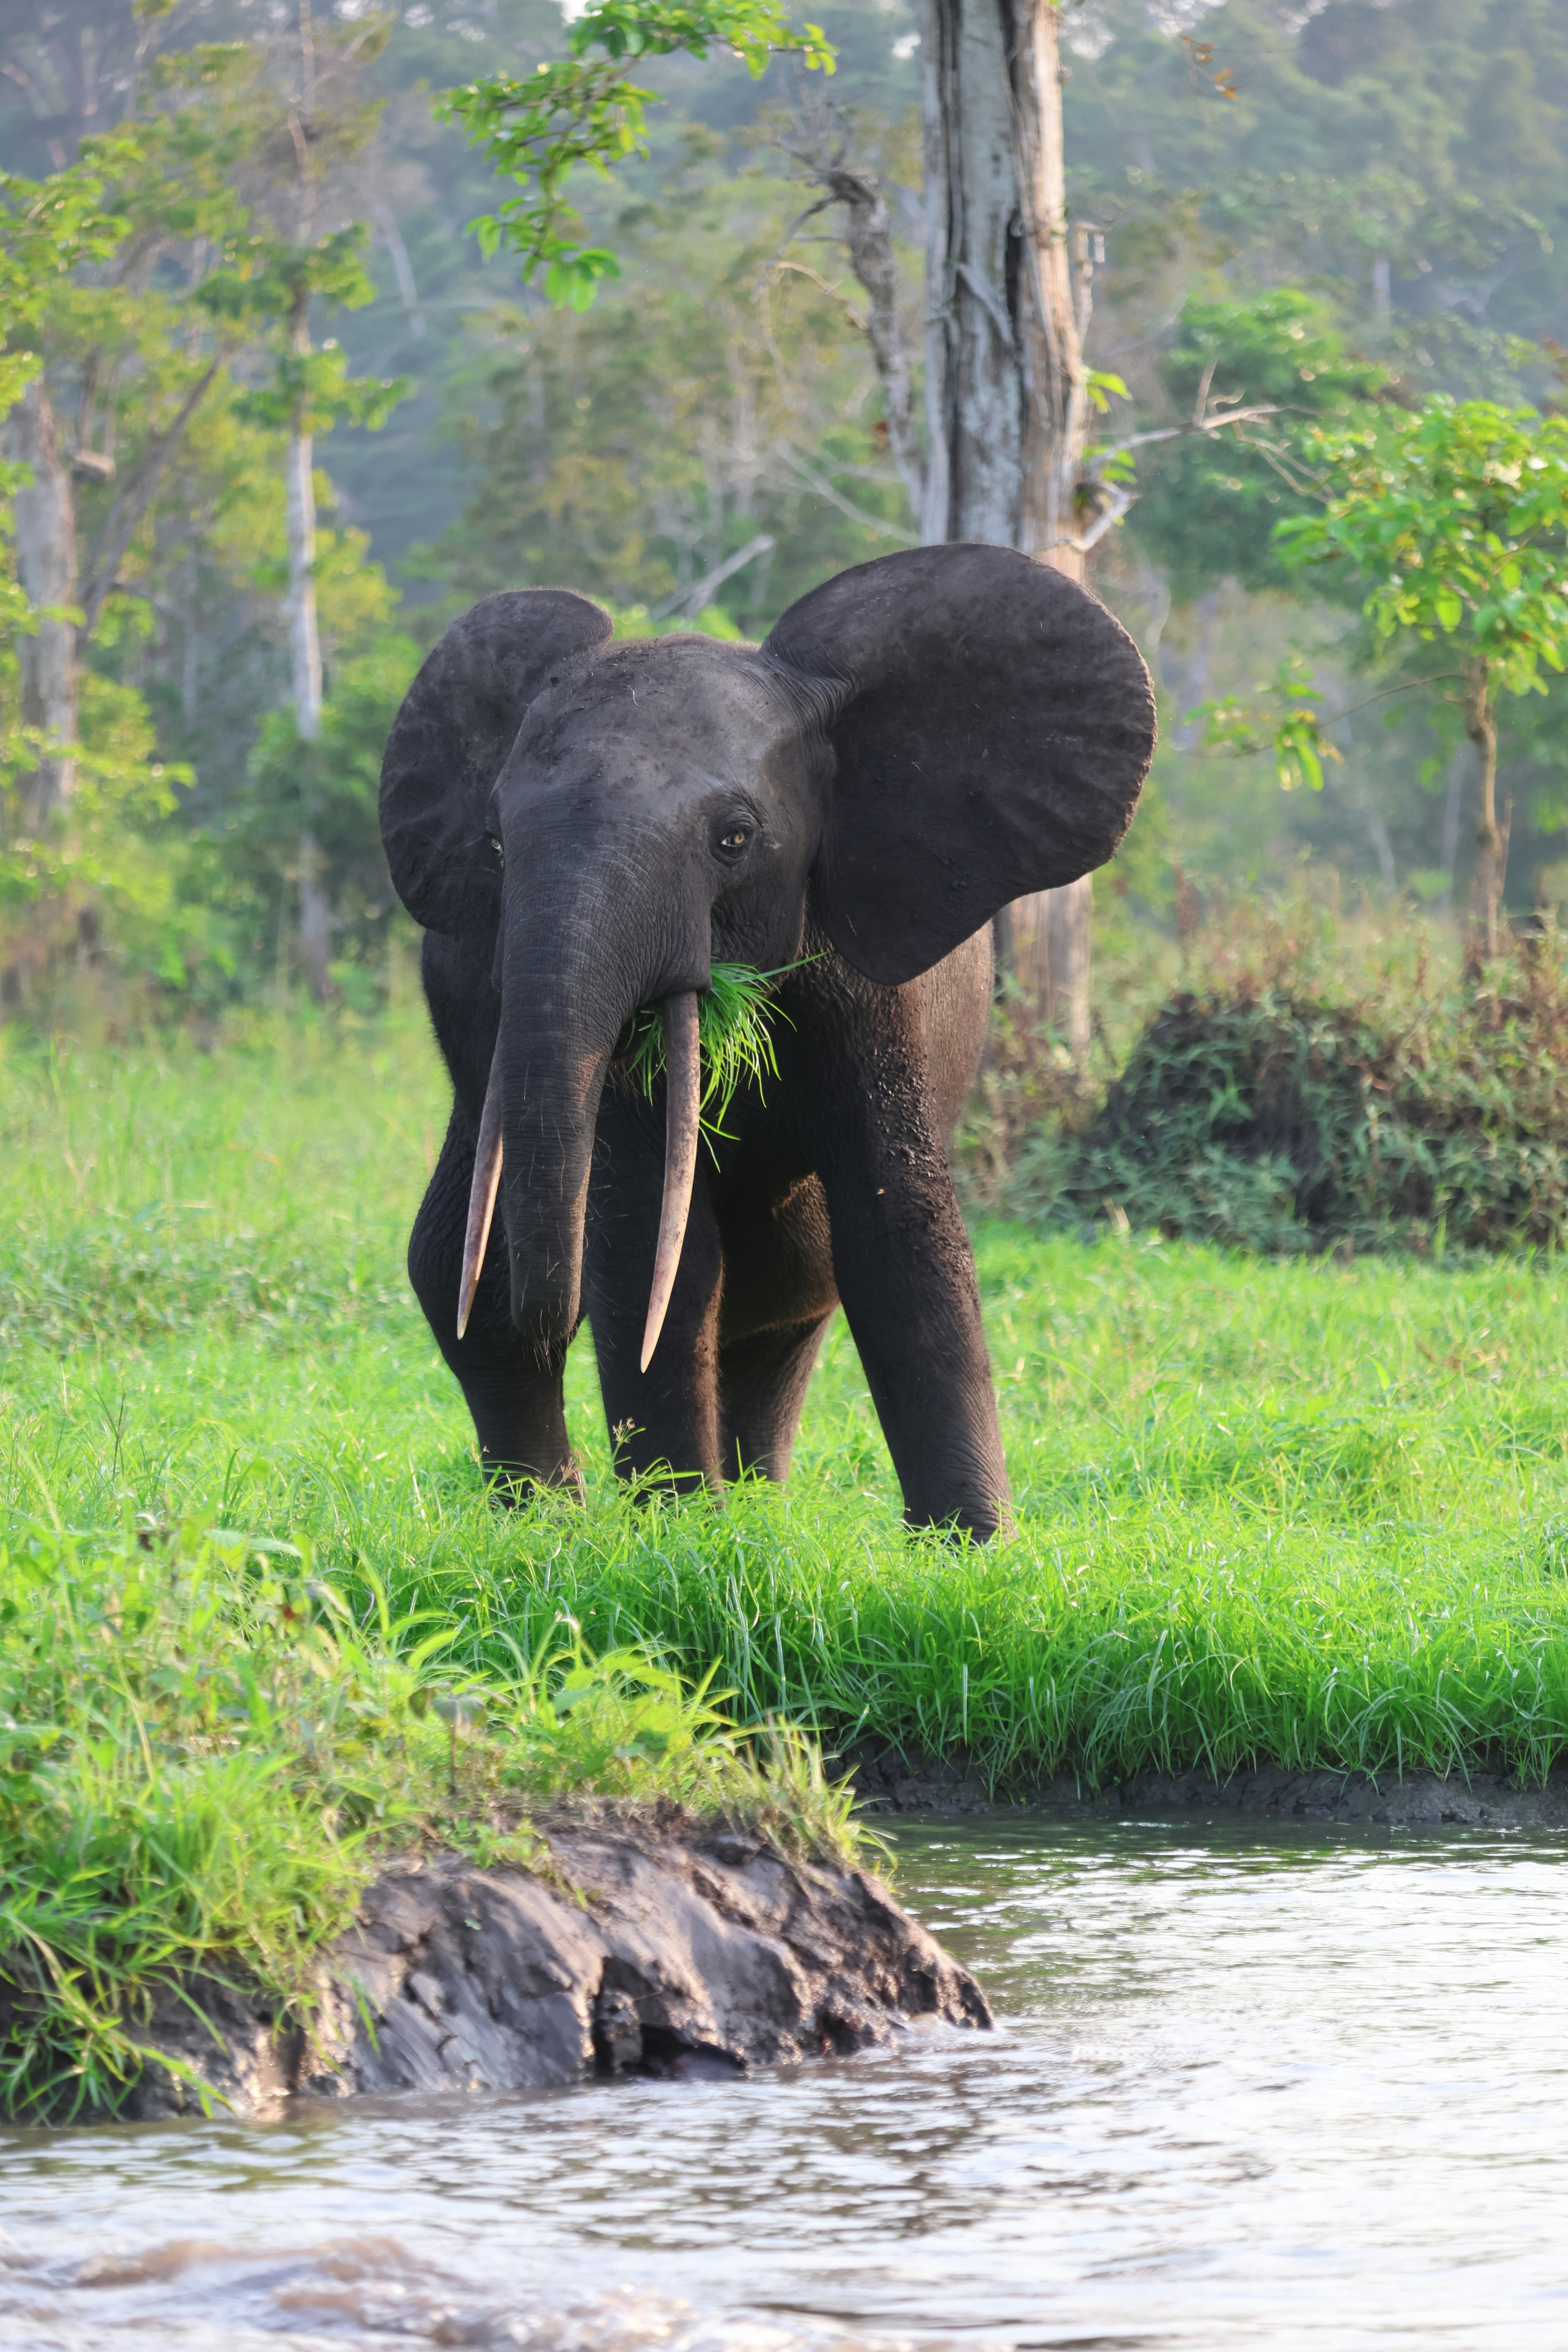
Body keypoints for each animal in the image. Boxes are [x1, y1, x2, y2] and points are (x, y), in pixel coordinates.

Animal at [379, 543, 1155, 1539]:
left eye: (735, 839)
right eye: (496, 848)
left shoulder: (876, 983)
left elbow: (895, 1230)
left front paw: (971, 1546)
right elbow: (653, 1242)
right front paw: (673, 1530)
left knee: (788, 1299)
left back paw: (746, 1510)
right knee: (468, 1276)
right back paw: (544, 1520)